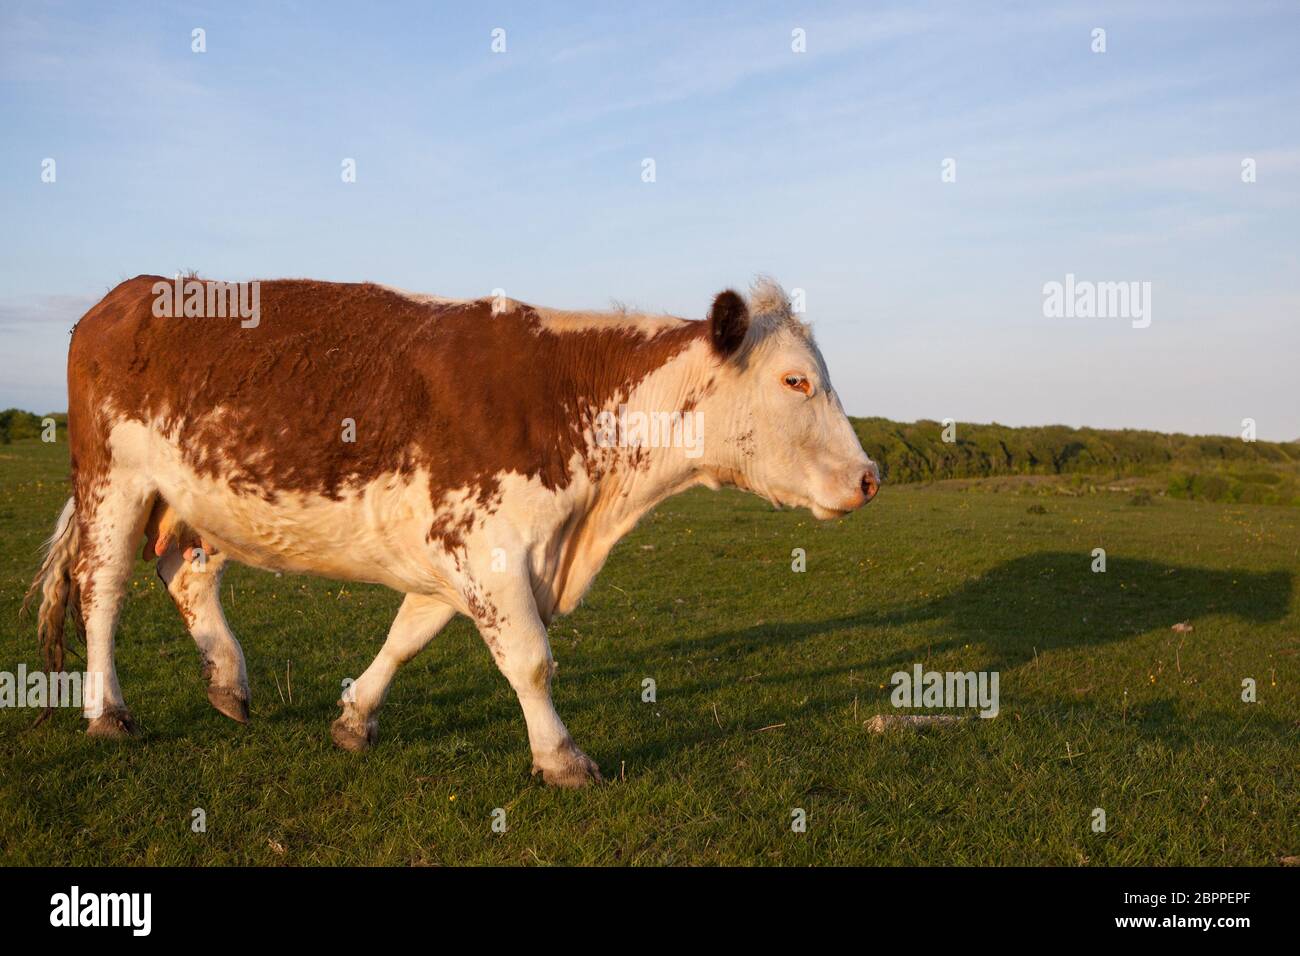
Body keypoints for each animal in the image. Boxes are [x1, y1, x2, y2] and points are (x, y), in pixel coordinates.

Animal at [26, 275, 879, 787]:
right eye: (796, 381)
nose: (870, 476)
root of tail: (122, 295)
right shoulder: (490, 548)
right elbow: (530, 661)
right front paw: (562, 757)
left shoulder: (457, 552)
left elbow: (408, 635)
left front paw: (354, 719)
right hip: (113, 483)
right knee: (101, 592)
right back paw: (107, 713)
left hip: (184, 500)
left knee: (189, 574)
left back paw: (228, 680)